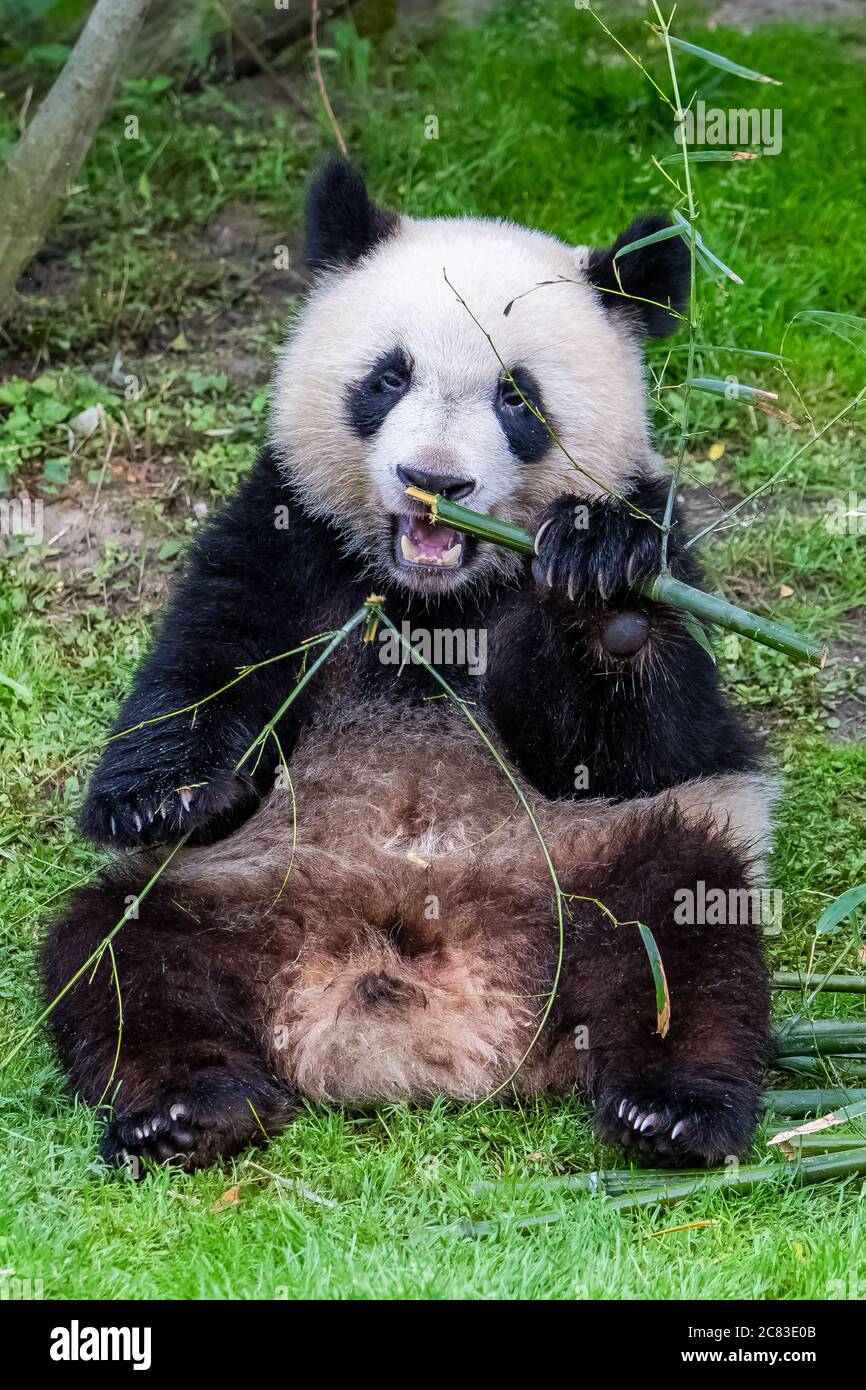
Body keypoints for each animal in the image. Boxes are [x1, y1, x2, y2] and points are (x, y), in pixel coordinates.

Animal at [42, 160, 772, 1173]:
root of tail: (424, 1025)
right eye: (389, 377)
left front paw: (606, 591)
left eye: (517, 399)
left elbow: (648, 748)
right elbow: (202, 671)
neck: (436, 596)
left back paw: (673, 1112)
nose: (437, 482)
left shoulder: (663, 530)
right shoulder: (286, 536)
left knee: (688, 941)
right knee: (118, 956)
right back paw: (189, 1109)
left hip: (602, 870)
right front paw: (162, 796)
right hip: (228, 892)